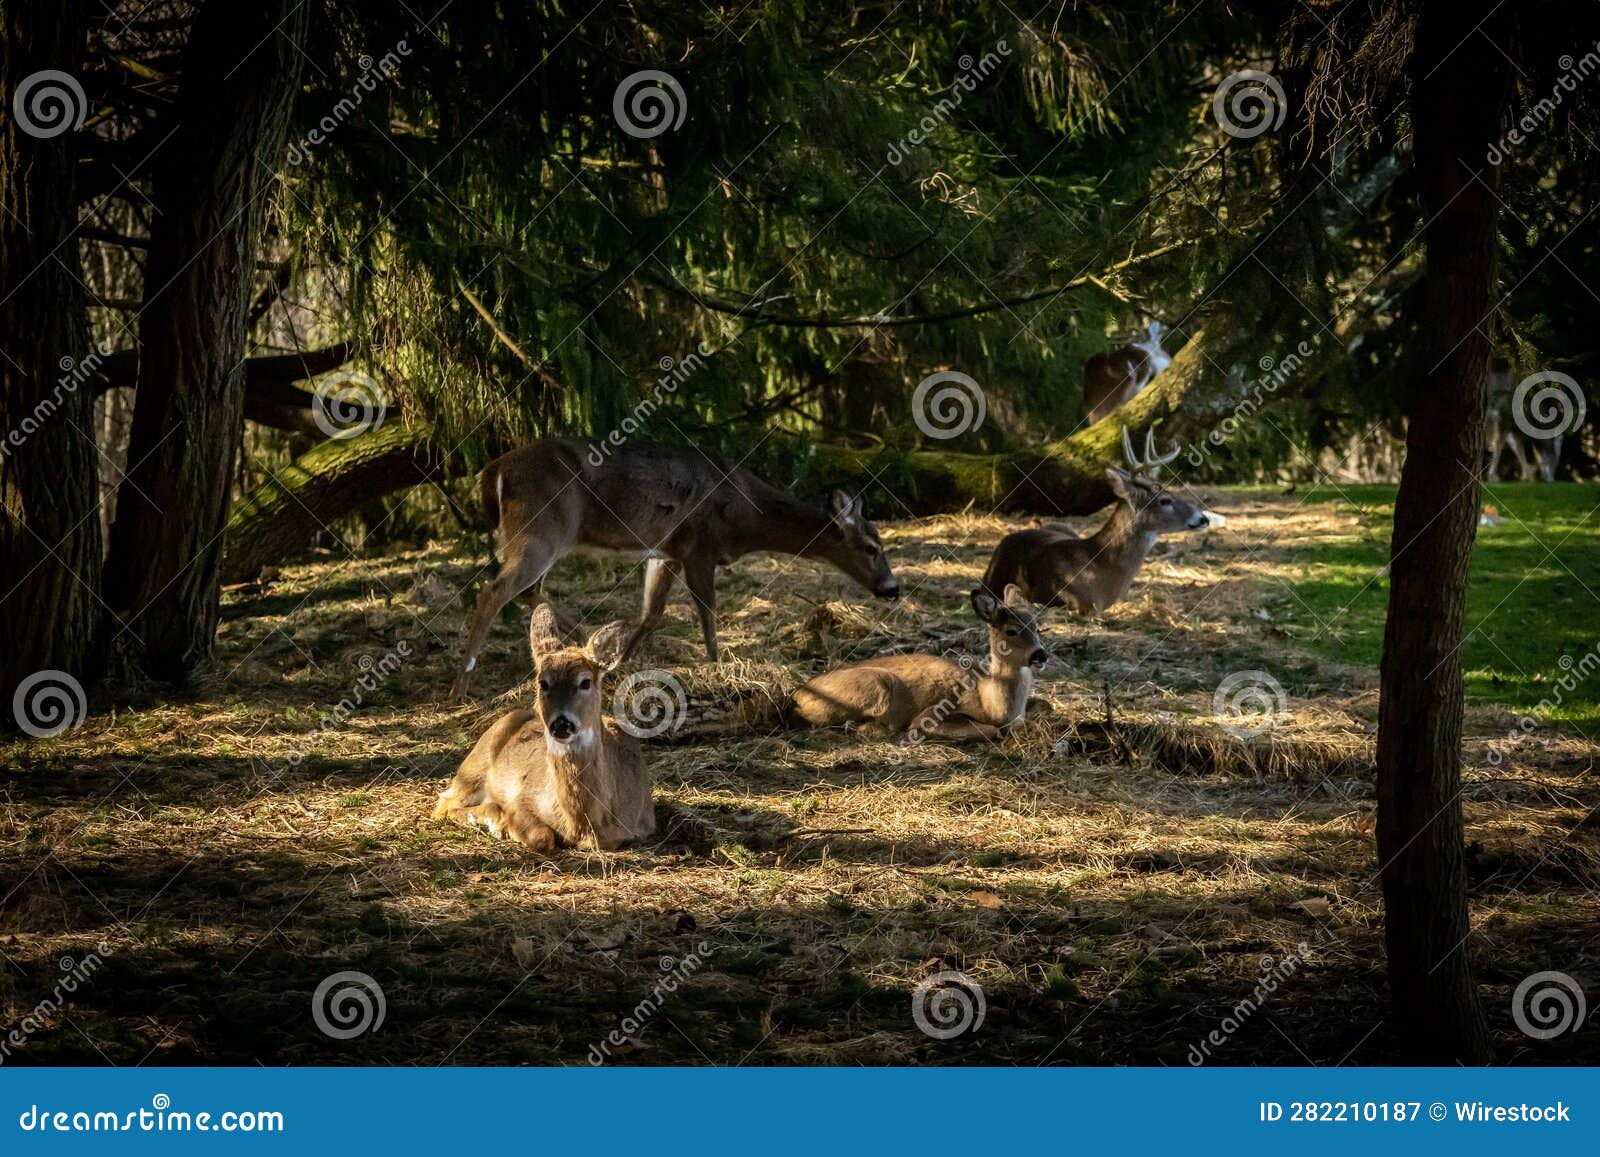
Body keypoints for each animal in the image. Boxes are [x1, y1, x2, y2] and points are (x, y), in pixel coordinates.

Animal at [433, 606, 654, 851]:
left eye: (585, 682)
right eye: (543, 682)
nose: (561, 723)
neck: (584, 824)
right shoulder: (523, 797)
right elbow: (541, 837)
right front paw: (505, 824)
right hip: (472, 770)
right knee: (443, 805)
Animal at [451, 438, 900, 700]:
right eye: (871, 548)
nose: (892, 588)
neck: (746, 514)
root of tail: (494, 472)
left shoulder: (666, 550)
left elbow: (652, 614)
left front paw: (617, 665)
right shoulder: (701, 544)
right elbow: (707, 612)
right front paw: (717, 667)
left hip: (536, 533)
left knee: (526, 591)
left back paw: (578, 633)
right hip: (541, 528)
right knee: (494, 590)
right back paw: (462, 684)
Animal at [790, 584, 1049, 741]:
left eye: (1037, 627)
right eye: (1011, 631)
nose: (1041, 655)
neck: (991, 703)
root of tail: (797, 696)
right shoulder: (932, 714)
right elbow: (990, 730)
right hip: (880, 682)